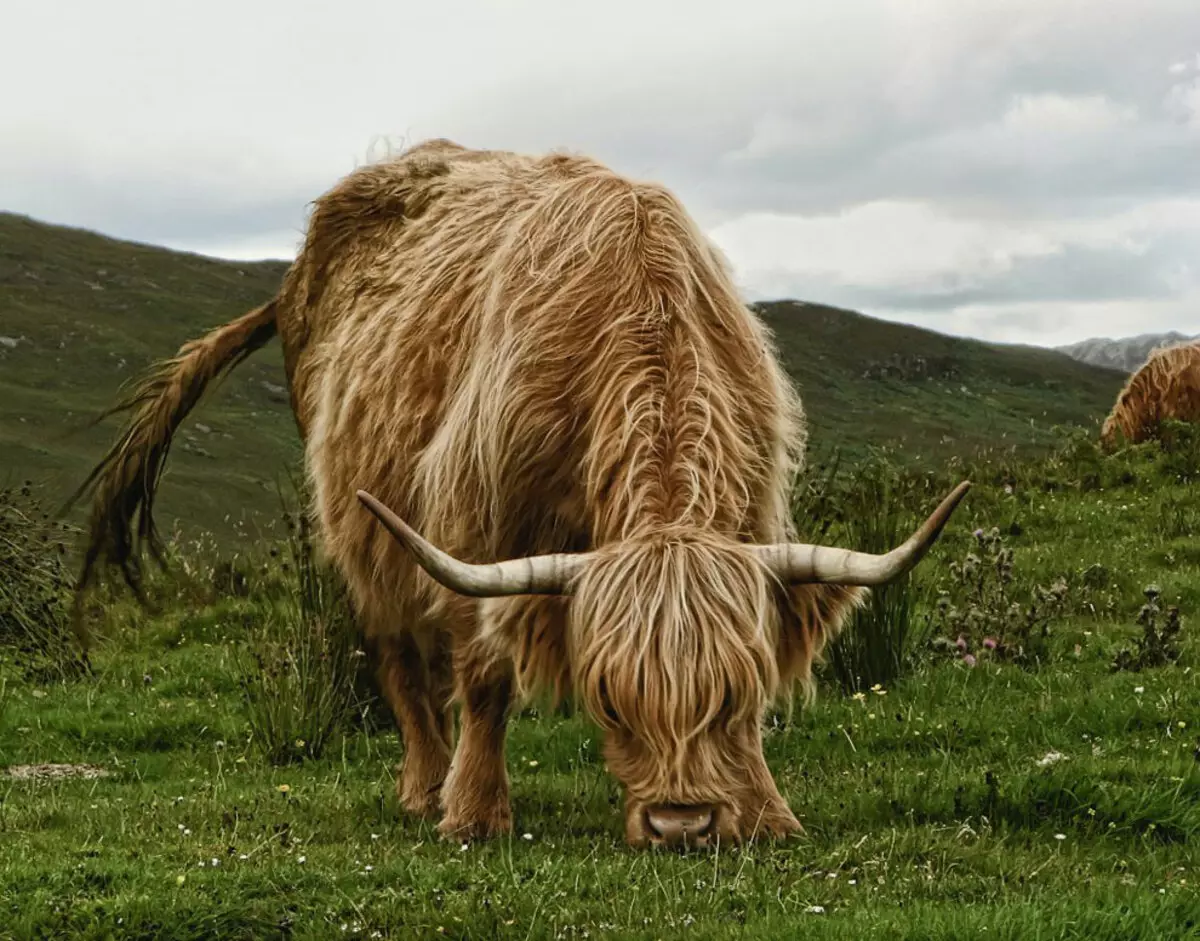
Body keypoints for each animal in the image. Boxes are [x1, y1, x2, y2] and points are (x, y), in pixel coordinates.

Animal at [70, 139, 969, 854]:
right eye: (608, 699)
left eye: (730, 694)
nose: (682, 824)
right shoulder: (479, 521)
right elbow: (486, 674)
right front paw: (473, 811)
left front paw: (767, 809)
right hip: (360, 530)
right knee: (398, 653)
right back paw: (426, 784)